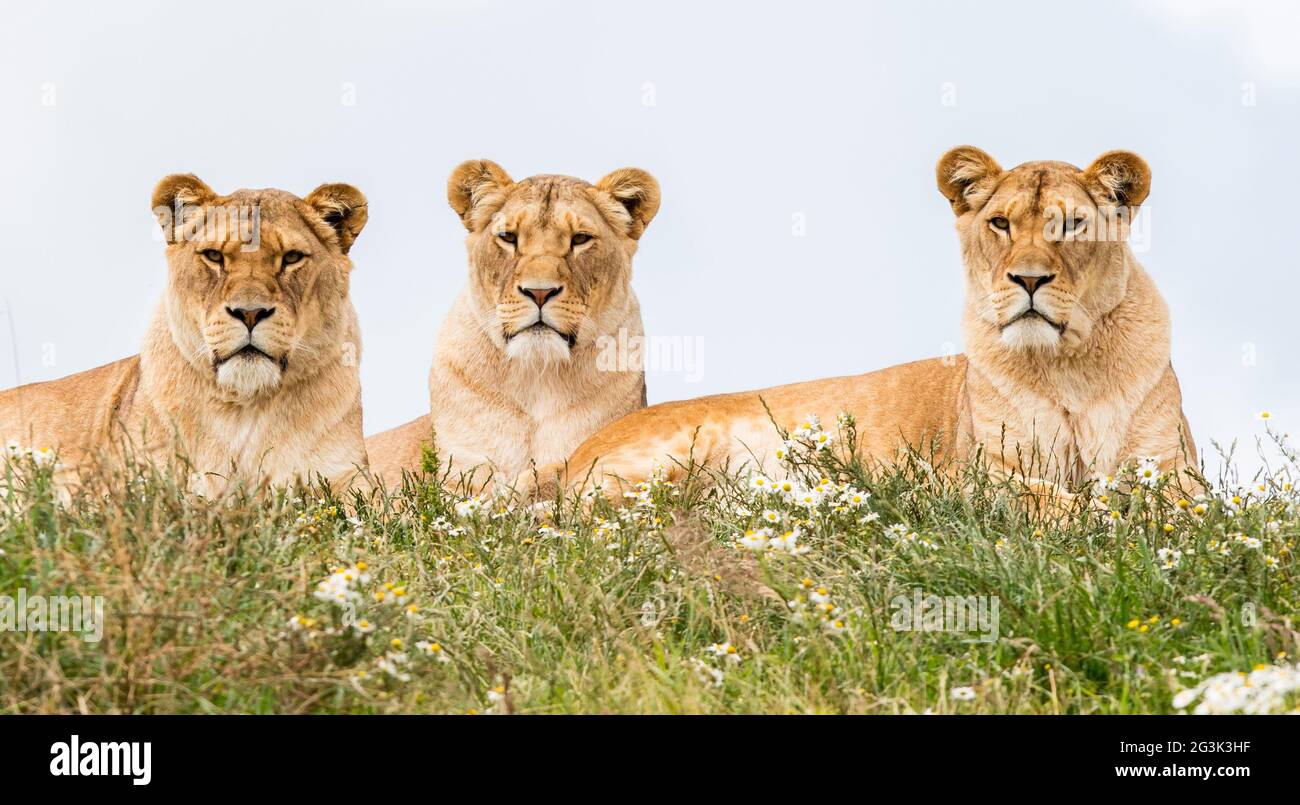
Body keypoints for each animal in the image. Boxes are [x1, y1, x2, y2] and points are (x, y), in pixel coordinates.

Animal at [544, 147, 1197, 498]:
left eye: (1071, 225)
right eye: (1001, 224)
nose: (1028, 281)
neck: (1069, 367)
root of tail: (576, 451)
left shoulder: (1175, 472)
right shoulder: (981, 475)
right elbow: (1061, 505)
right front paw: (1101, 515)